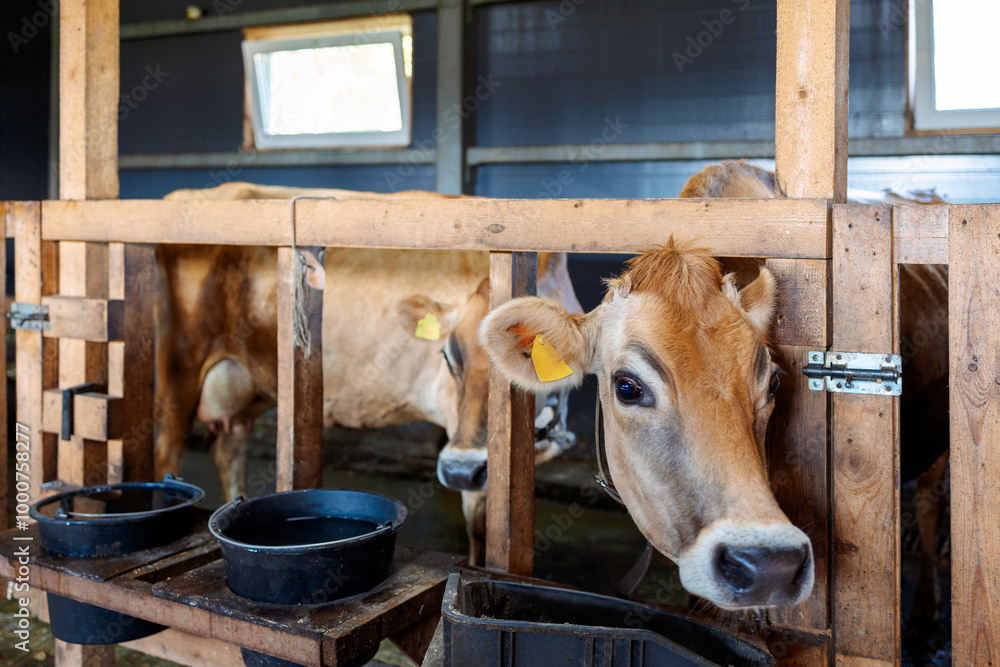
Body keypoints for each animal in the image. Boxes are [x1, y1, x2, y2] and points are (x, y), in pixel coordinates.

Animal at [154, 182, 582, 564]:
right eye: (448, 356)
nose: (458, 469)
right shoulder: (461, 434)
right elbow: (482, 527)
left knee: (228, 448)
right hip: (178, 373)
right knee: (166, 454)